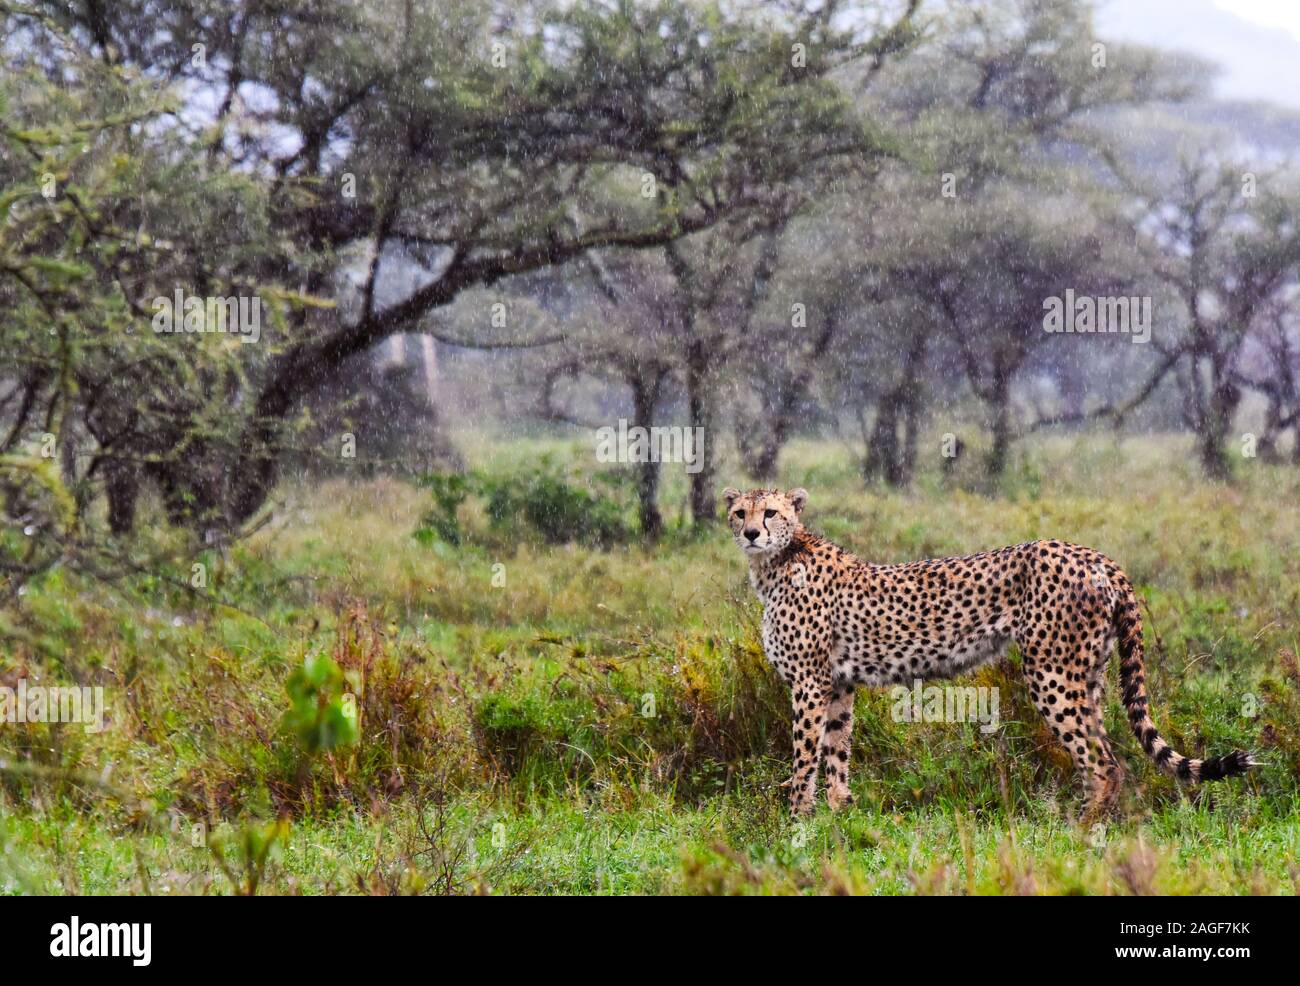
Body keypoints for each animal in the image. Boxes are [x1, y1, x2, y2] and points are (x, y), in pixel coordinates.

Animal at [723, 486, 1256, 818]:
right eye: (739, 512)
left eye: (770, 512)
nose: (750, 533)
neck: (777, 560)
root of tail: (1095, 555)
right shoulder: (838, 685)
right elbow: (835, 754)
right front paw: (836, 819)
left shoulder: (810, 684)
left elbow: (802, 757)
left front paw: (797, 823)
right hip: (1089, 675)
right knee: (1108, 754)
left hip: (1051, 673)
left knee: (1102, 762)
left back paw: (1080, 836)